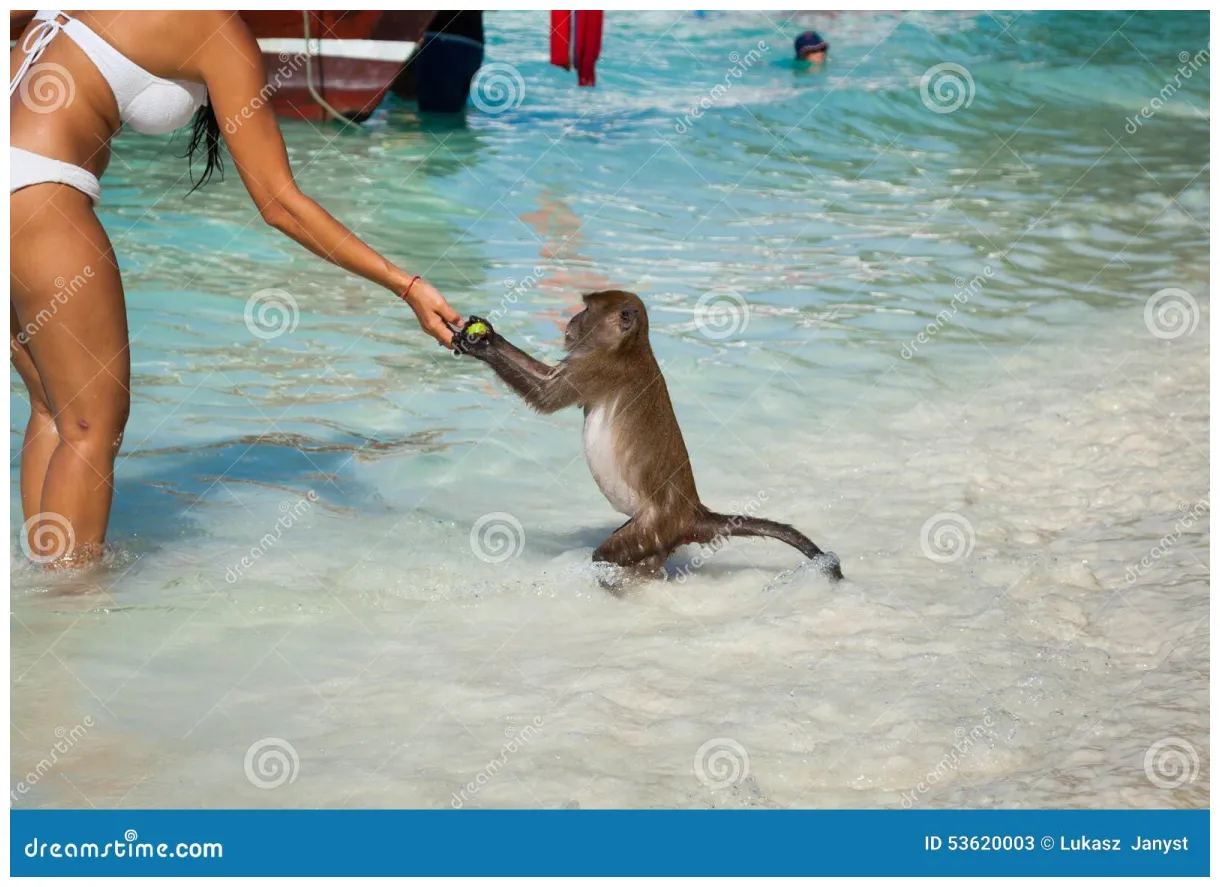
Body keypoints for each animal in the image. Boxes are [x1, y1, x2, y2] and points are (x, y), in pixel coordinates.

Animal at [449, 291, 843, 583]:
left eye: (586, 308)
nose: (571, 320)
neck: (631, 346)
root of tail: (692, 513)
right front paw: (484, 335)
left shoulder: (595, 367)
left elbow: (545, 395)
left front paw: (484, 345)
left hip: (654, 528)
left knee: (610, 554)